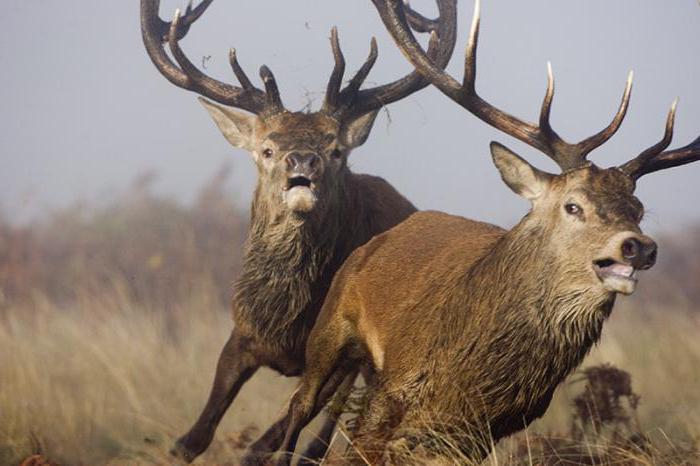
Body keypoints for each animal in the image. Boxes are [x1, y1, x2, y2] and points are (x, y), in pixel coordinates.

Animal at [142, 0, 460, 462]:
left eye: (336, 149)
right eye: (266, 149)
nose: (302, 161)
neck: (287, 324)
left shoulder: (338, 355)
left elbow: (264, 445)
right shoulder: (242, 331)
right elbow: (191, 441)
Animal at [272, 0, 700, 462]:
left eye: (637, 210)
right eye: (573, 206)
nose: (639, 246)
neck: (471, 377)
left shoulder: (486, 430)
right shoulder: (393, 390)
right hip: (330, 328)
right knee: (299, 409)